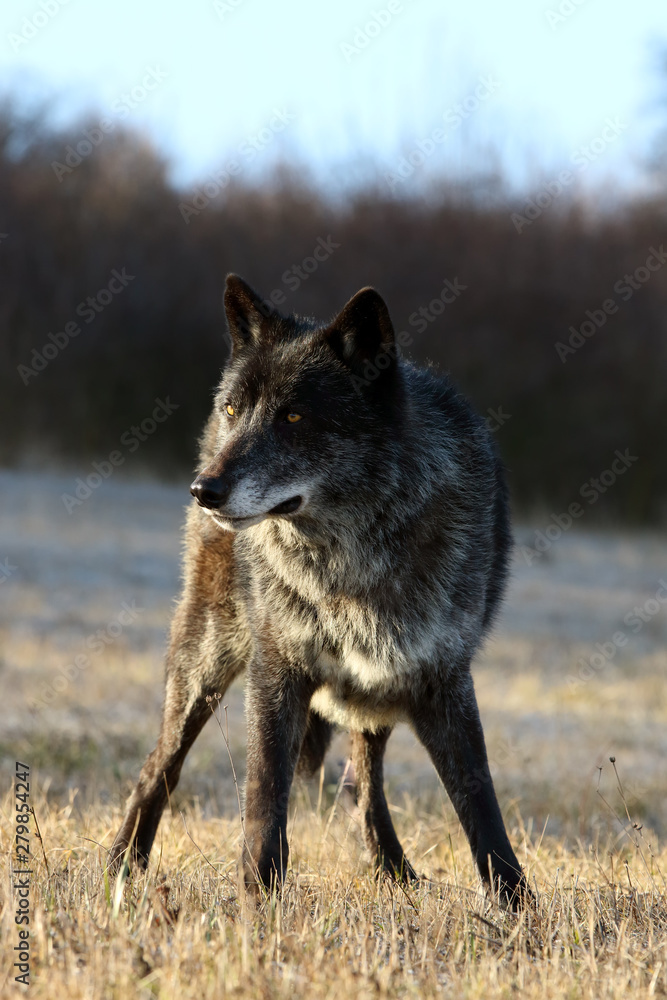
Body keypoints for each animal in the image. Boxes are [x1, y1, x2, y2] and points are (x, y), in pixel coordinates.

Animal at [109, 274, 529, 907]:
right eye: (236, 409)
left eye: (293, 416)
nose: (203, 490)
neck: (347, 567)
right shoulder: (277, 670)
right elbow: (265, 795)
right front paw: (259, 895)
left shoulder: (442, 681)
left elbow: (482, 807)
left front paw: (520, 906)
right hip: (203, 664)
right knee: (159, 765)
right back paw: (120, 866)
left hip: (373, 693)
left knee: (360, 779)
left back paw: (394, 871)